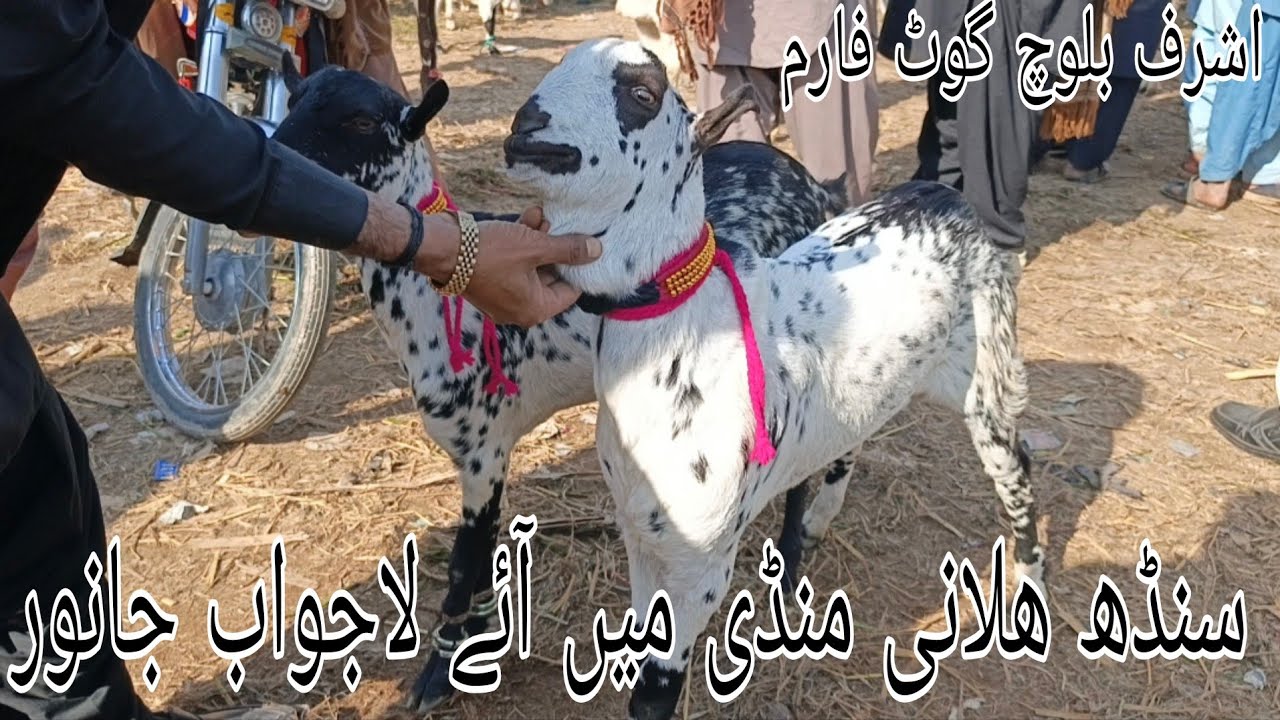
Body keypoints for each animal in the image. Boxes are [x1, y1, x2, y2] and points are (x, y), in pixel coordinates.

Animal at [271, 60, 852, 712]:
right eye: (294, 98)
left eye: (362, 122)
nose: (279, 154)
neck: (438, 307)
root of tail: (810, 183)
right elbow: (481, 562)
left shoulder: (484, 449)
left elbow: (463, 566)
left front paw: (437, 674)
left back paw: (799, 549)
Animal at [503, 39, 1043, 720]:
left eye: (643, 94)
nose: (526, 126)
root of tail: (941, 195)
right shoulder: (643, 536)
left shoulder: (701, 562)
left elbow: (654, 692)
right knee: (844, 446)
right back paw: (807, 536)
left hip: (988, 364)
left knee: (1015, 461)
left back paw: (1028, 581)